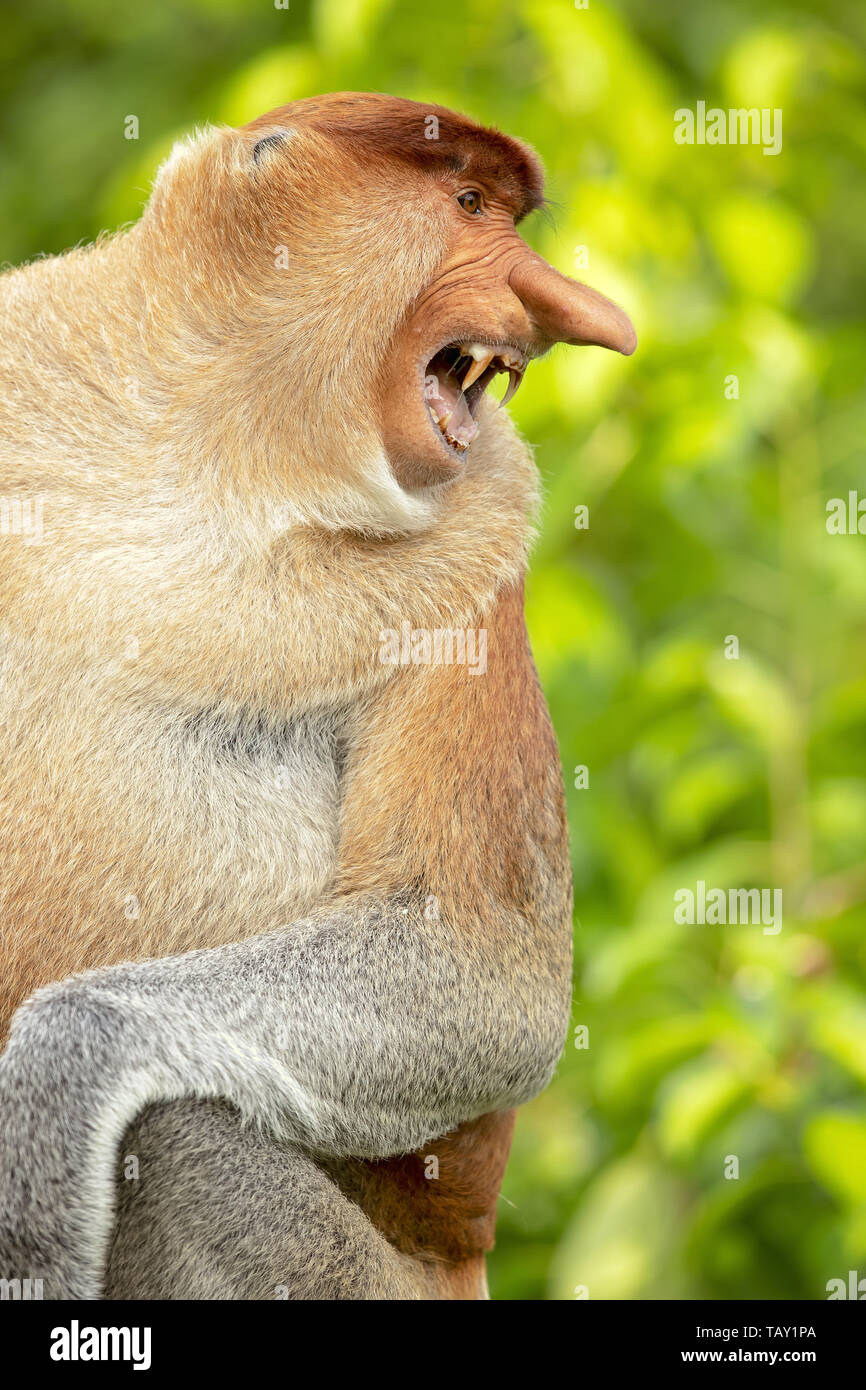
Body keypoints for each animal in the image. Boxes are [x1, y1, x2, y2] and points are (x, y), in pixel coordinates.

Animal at [0, 93, 635, 1300]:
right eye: (468, 203)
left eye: (501, 213)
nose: (572, 307)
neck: (225, 453)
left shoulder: (480, 543)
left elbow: (477, 967)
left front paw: (47, 1113)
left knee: (173, 1134)